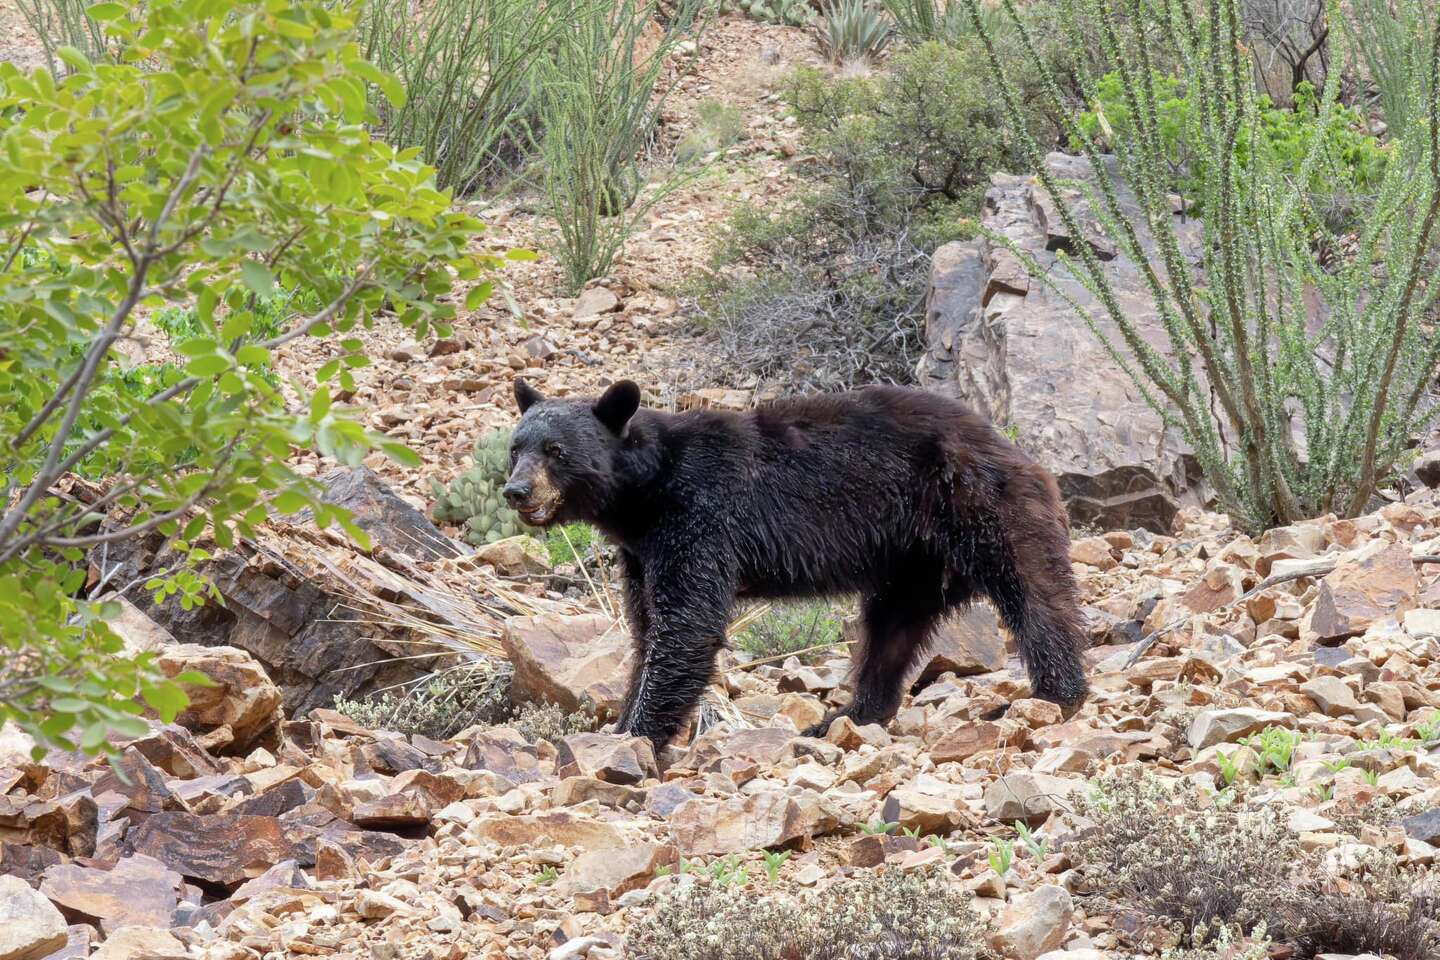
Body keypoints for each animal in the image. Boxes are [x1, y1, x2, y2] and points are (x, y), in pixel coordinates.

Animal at [501, 378, 1089, 749]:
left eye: (556, 451)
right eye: (515, 447)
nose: (515, 491)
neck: (645, 493)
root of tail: (1013, 447)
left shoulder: (700, 519)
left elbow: (687, 625)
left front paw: (637, 734)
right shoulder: (641, 553)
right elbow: (647, 628)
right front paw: (623, 723)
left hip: (983, 508)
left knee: (1035, 595)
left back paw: (1054, 695)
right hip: (914, 559)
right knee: (891, 627)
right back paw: (848, 715)